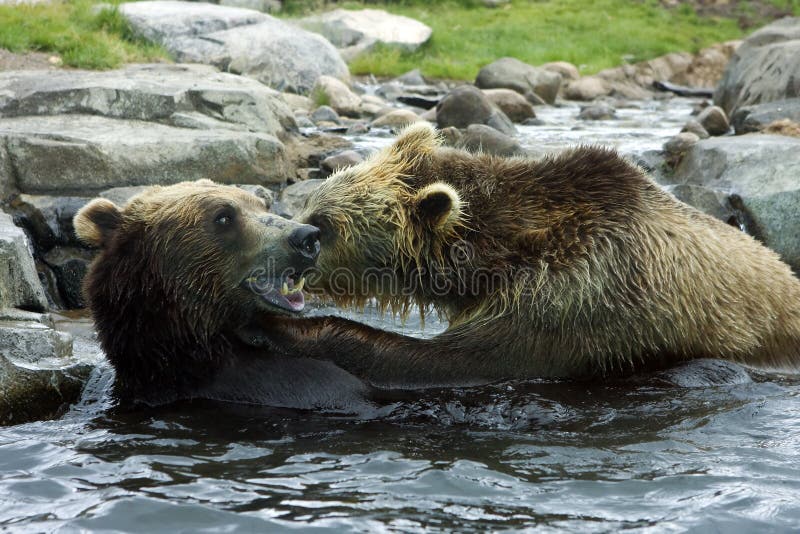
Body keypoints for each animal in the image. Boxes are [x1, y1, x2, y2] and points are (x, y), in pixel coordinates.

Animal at [246, 123, 800, 387]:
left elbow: (448, 360)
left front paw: (287, 330)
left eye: (323, 226)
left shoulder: (576, 295)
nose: (295, 235)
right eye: (310, 205)